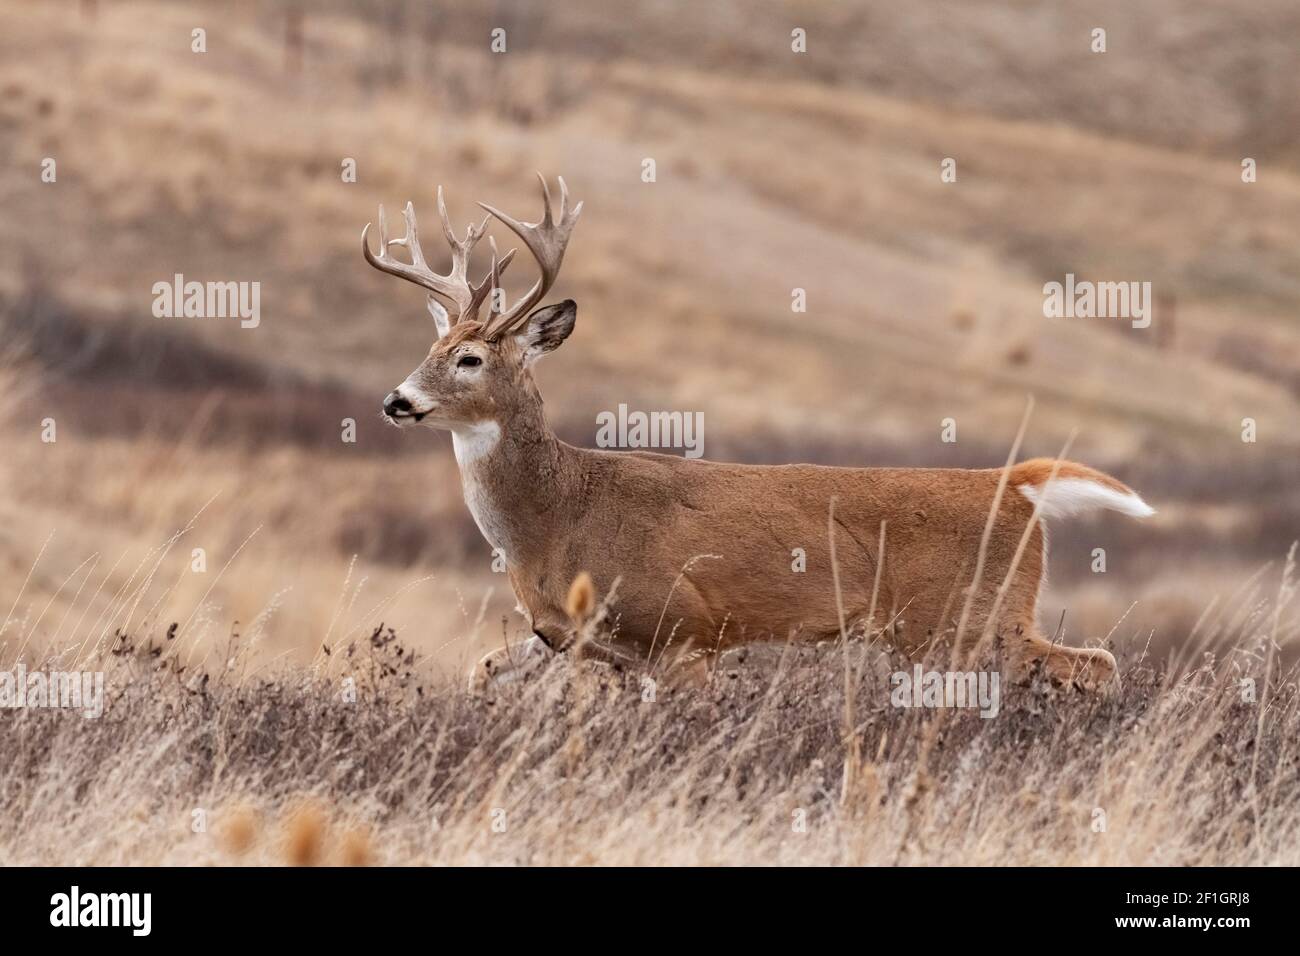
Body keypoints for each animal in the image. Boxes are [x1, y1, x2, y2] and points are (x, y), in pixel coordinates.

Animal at [362, 175, 1154, 693]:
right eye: (429, 349)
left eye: (470, 358)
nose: (396, 400)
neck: (558, 521)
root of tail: (1015, 484)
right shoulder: (567, 641)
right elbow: (479, 672)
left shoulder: (683, 627)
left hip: (970, 619)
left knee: (1098, 665)